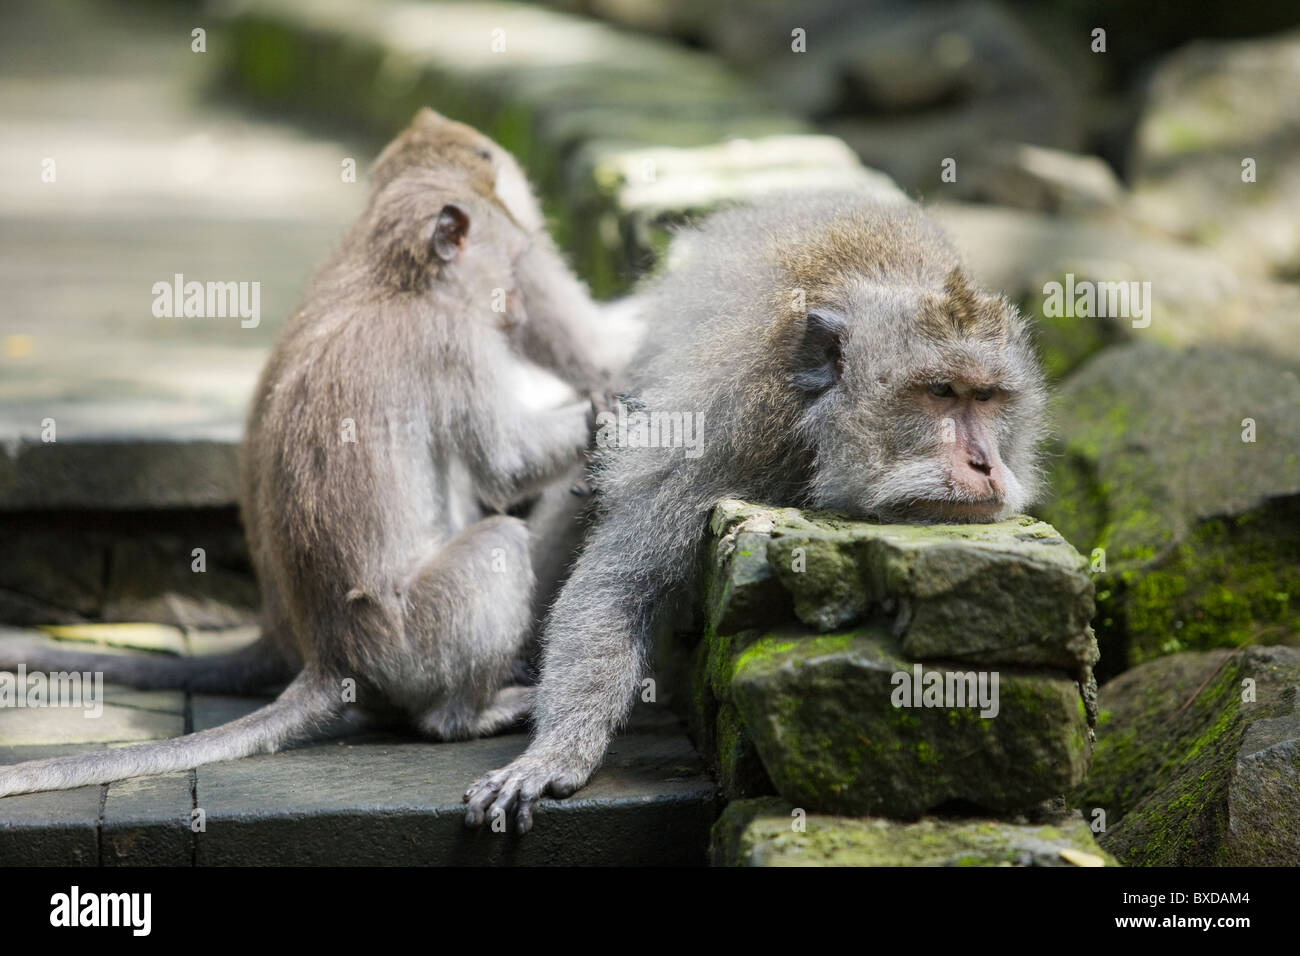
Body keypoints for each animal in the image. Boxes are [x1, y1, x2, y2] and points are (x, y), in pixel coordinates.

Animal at [0, 109, 622, 798]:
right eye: (511, 264)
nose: (514, 308)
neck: (400, 280)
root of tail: (330, 657)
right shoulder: (453, 339)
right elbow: (504, 463)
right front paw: (615, 406)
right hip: (415, 639)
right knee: (497, 544)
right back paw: (467, 714)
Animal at [464, 190, 1048, 831]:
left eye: (987, 396)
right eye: (941, 392)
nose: (984, 463)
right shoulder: (726, 428)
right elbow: (618, 582)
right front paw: (554, 754)